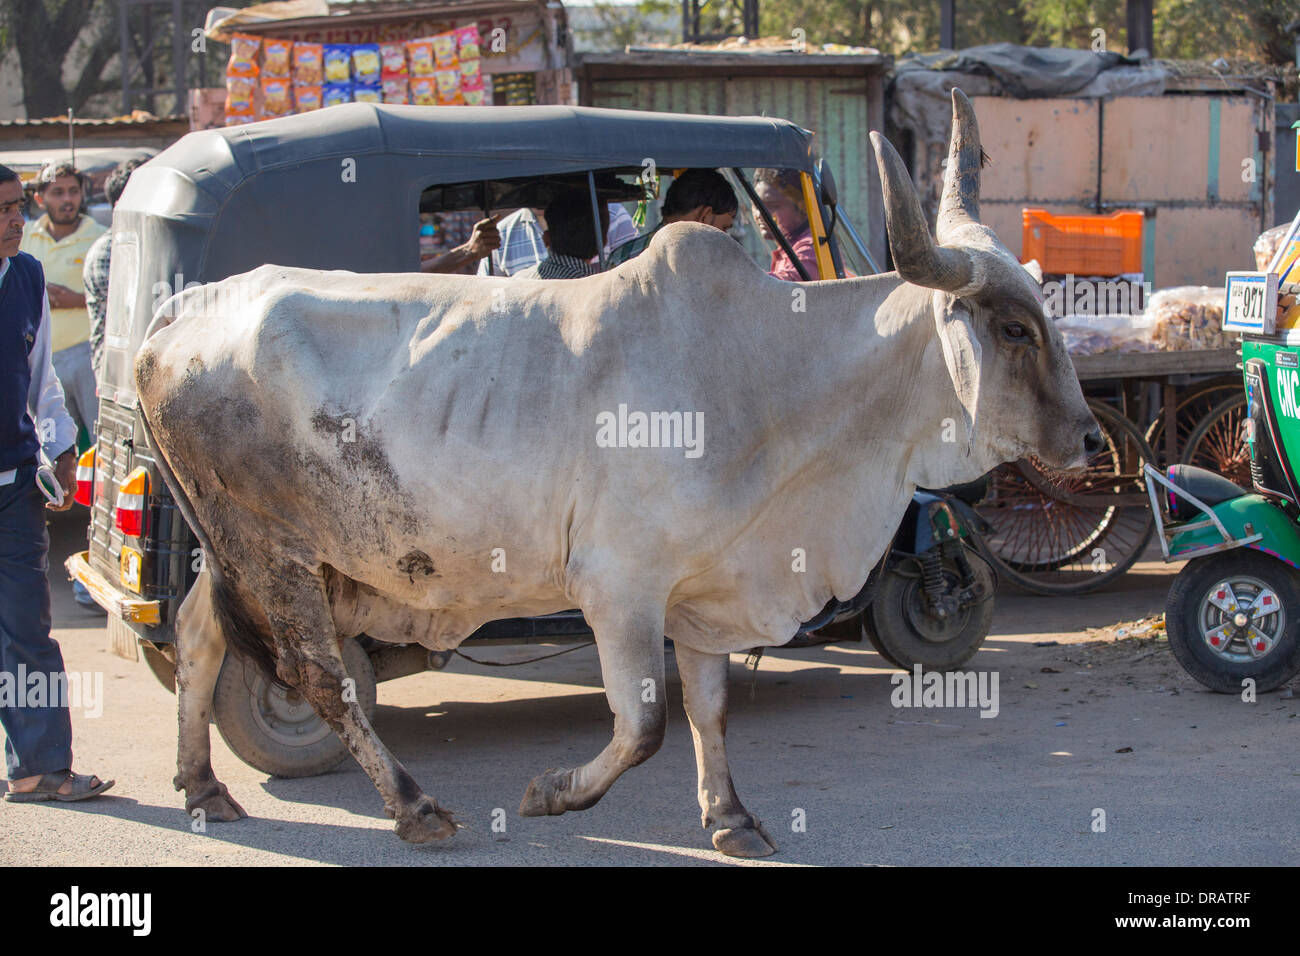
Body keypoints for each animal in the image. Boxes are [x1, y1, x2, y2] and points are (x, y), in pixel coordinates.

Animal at [135, 90, 1099, 858]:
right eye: (1014, 328)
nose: (1090, 438)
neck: (769, 381)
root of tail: (185, 308)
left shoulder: (706, 588)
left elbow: (709, 710)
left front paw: (731, 819)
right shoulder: (619, 587)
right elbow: (643, 728)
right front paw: (553, 793)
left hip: (245, 553)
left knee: (197, 635)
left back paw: (204, 787)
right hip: (277, 554)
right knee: (318, 679)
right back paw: (413, 808)